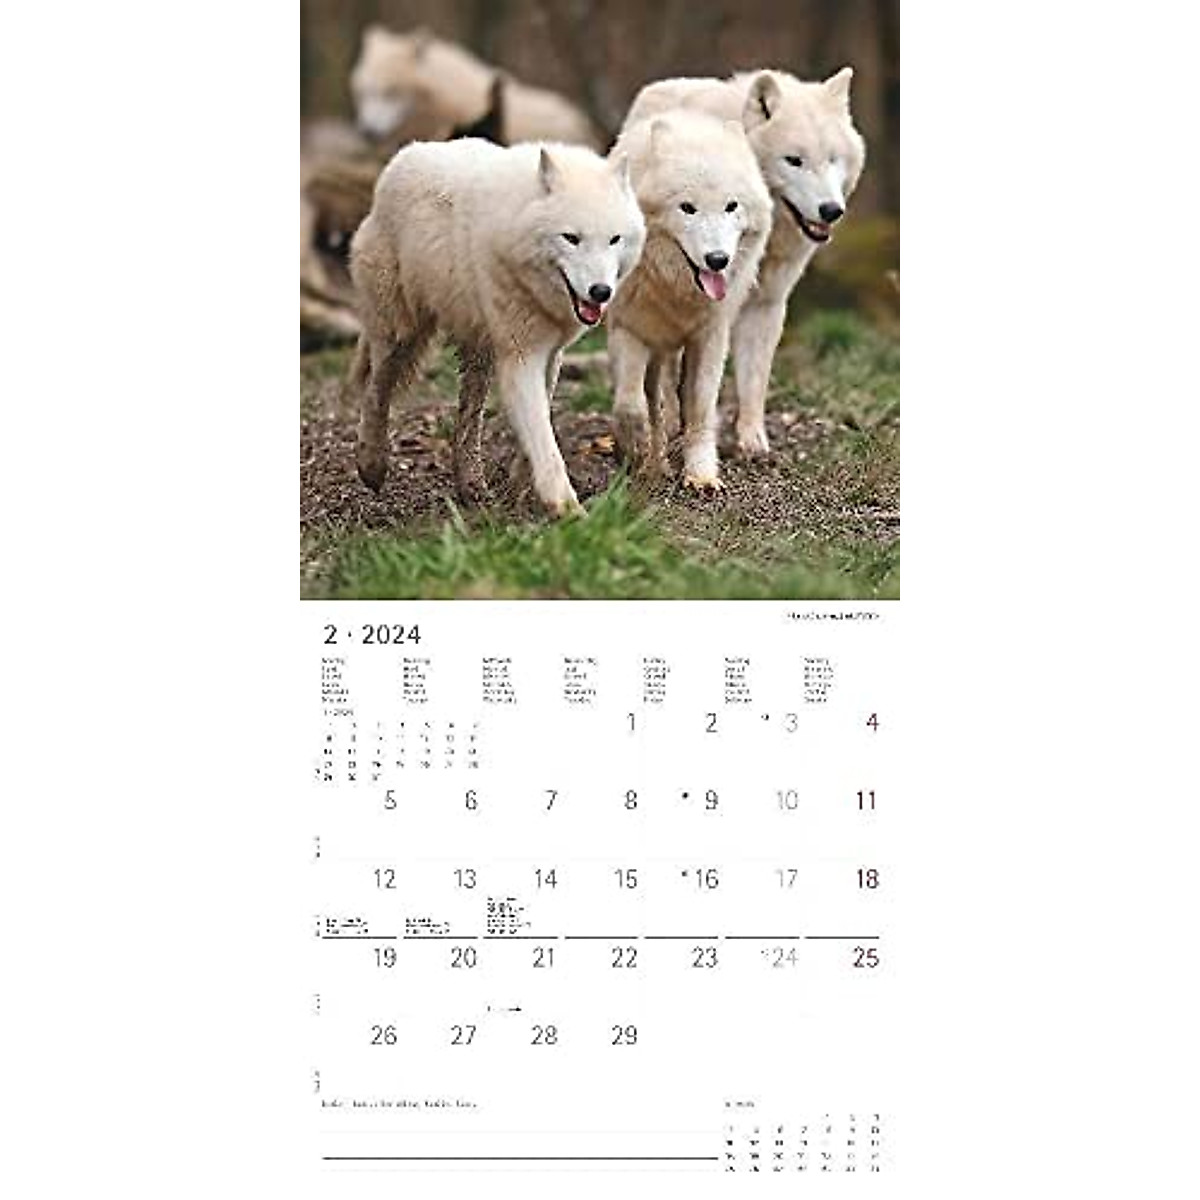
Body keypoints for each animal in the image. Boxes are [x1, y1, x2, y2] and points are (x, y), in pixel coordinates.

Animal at [348, 139, 645, 516]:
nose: (601, 292)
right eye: (571, 238)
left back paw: (471, 487)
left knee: (467, 419)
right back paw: (371, 464)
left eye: (614, 239)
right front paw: (566, 509)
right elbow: (543, 436)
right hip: (400, 333)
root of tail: (402, 157)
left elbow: (538, 424)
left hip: (480, 353)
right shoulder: (521, 355)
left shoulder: (552, 352)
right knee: (376, 389)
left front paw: (522, 489)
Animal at [605, 110, 772, 488]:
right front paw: (637, 450)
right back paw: (655, 461)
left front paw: (701, 474)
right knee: (656, 399)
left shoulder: (710, 336)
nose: (717, 260)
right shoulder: (629, 329)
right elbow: (631, 404)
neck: (676, 291)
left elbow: (699, 405)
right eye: (687, 208)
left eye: (731, 206)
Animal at [625, 68, 866, 456]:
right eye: (794, 160)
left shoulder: (766, 304)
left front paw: (753, 439)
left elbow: (755, 377)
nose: (832, 210)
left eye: (832, 159)